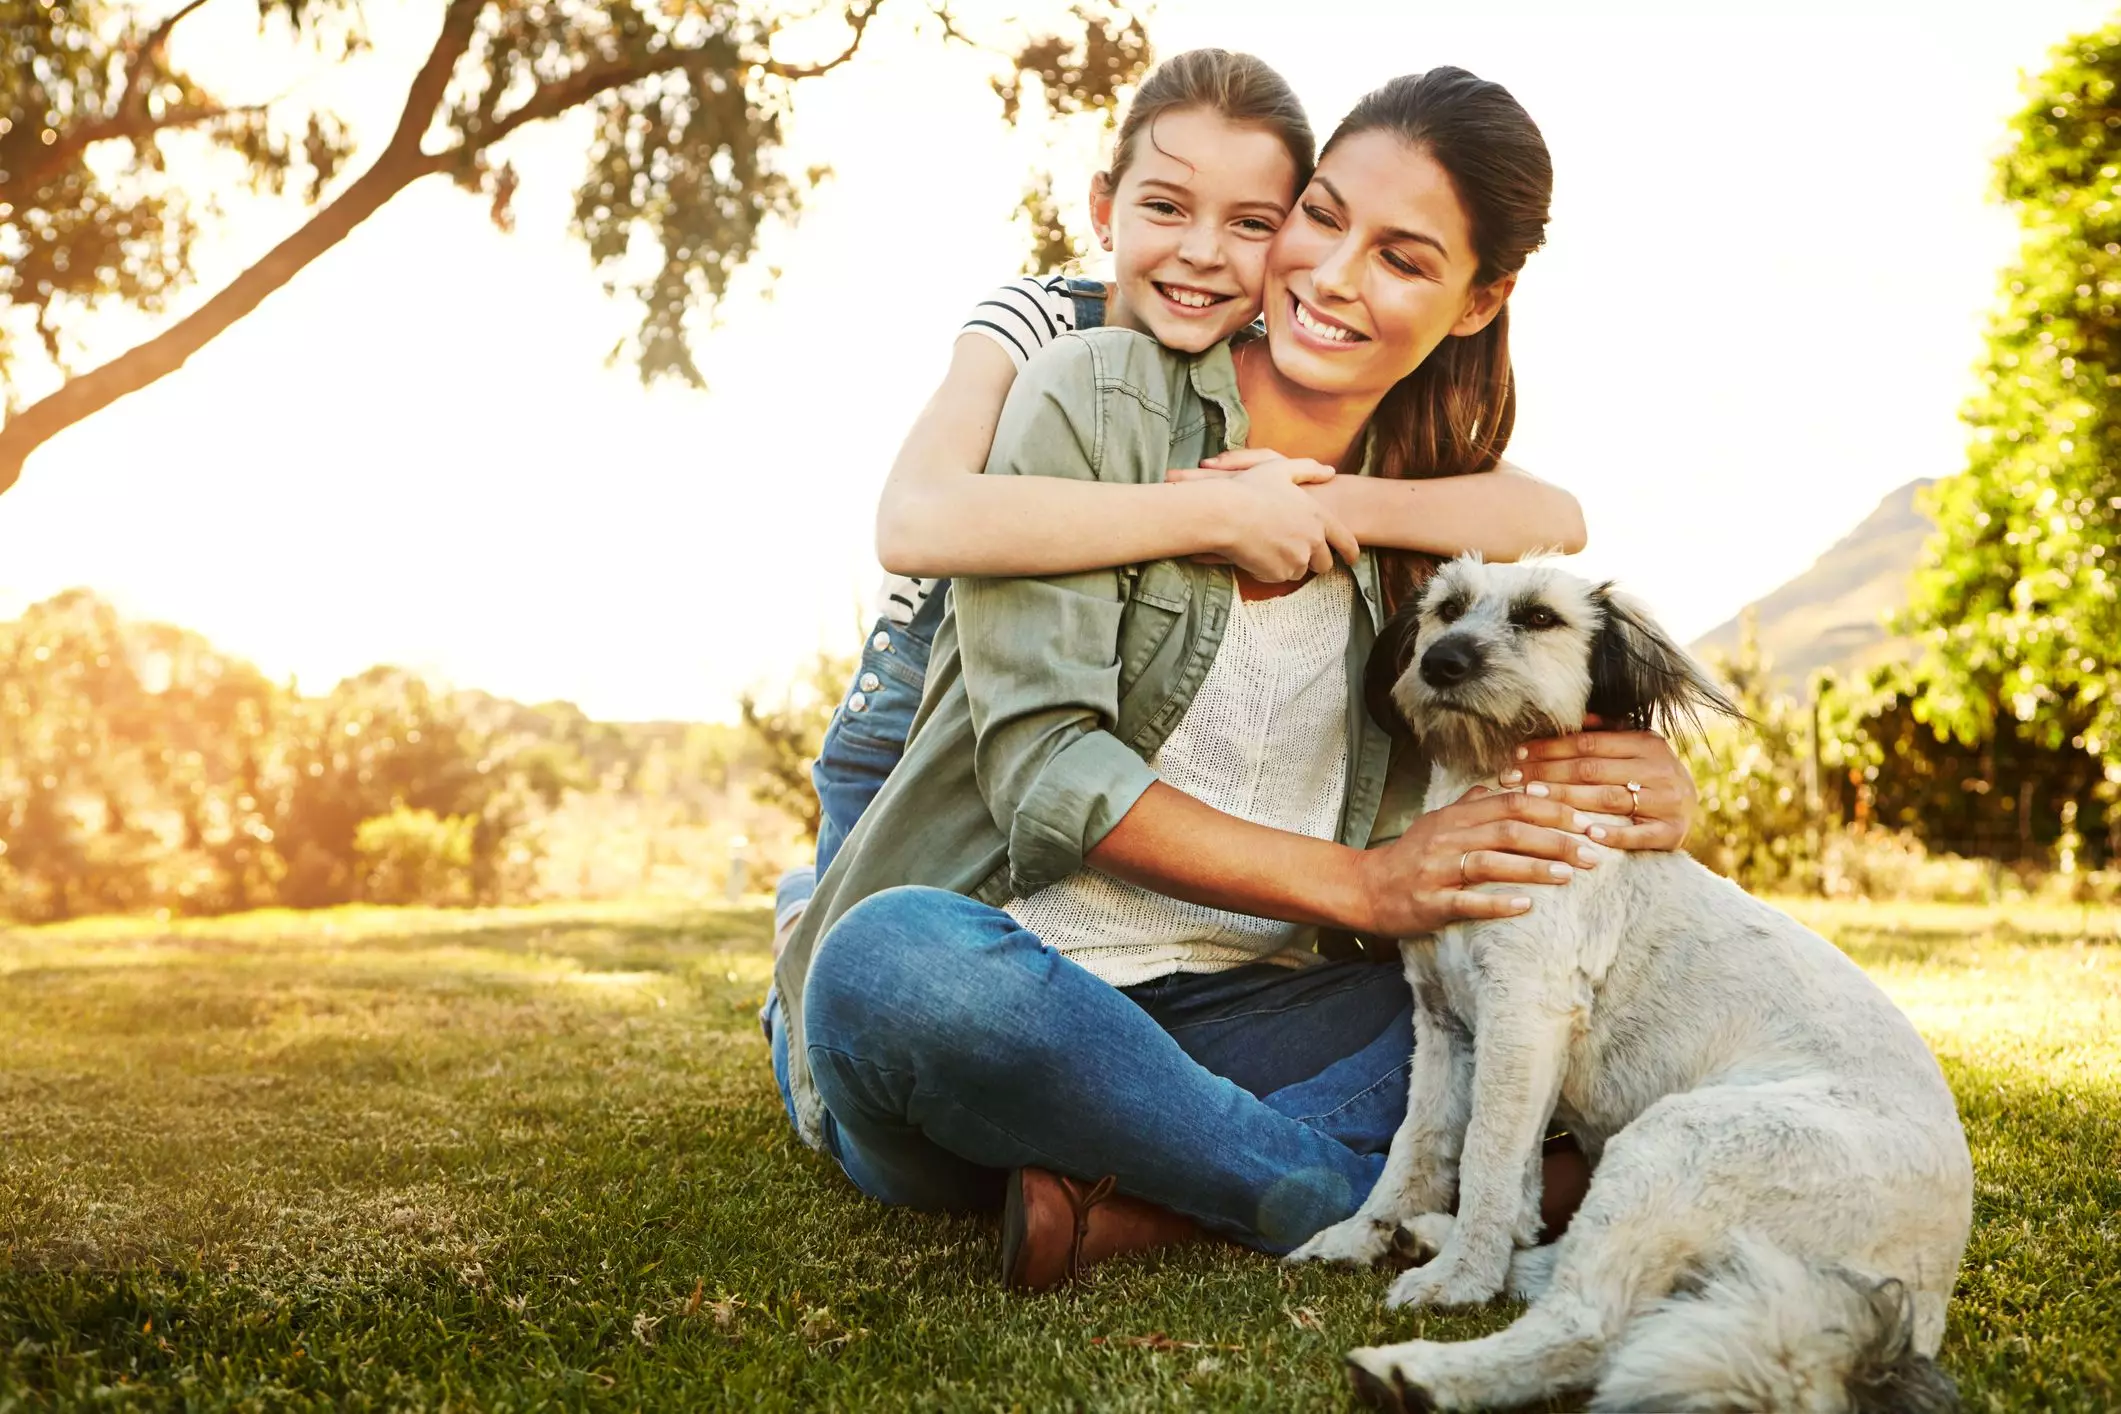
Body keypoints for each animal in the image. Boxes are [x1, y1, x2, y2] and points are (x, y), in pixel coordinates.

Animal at [1289, 559, 1968, 1414]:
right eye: (1446, 609)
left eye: (1539, 618)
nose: (1442, 663)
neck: (1494, 796)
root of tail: (1922, 1298)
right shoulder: (1444, 1028)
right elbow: (1420, 1149)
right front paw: (1369, 1233)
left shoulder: (1523, 1016)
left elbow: (1484, 1157)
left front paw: (1459, 1281)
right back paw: (1438, 1246)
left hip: (1677, 1142)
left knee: (1589, 1326)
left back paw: (1420, 1371)